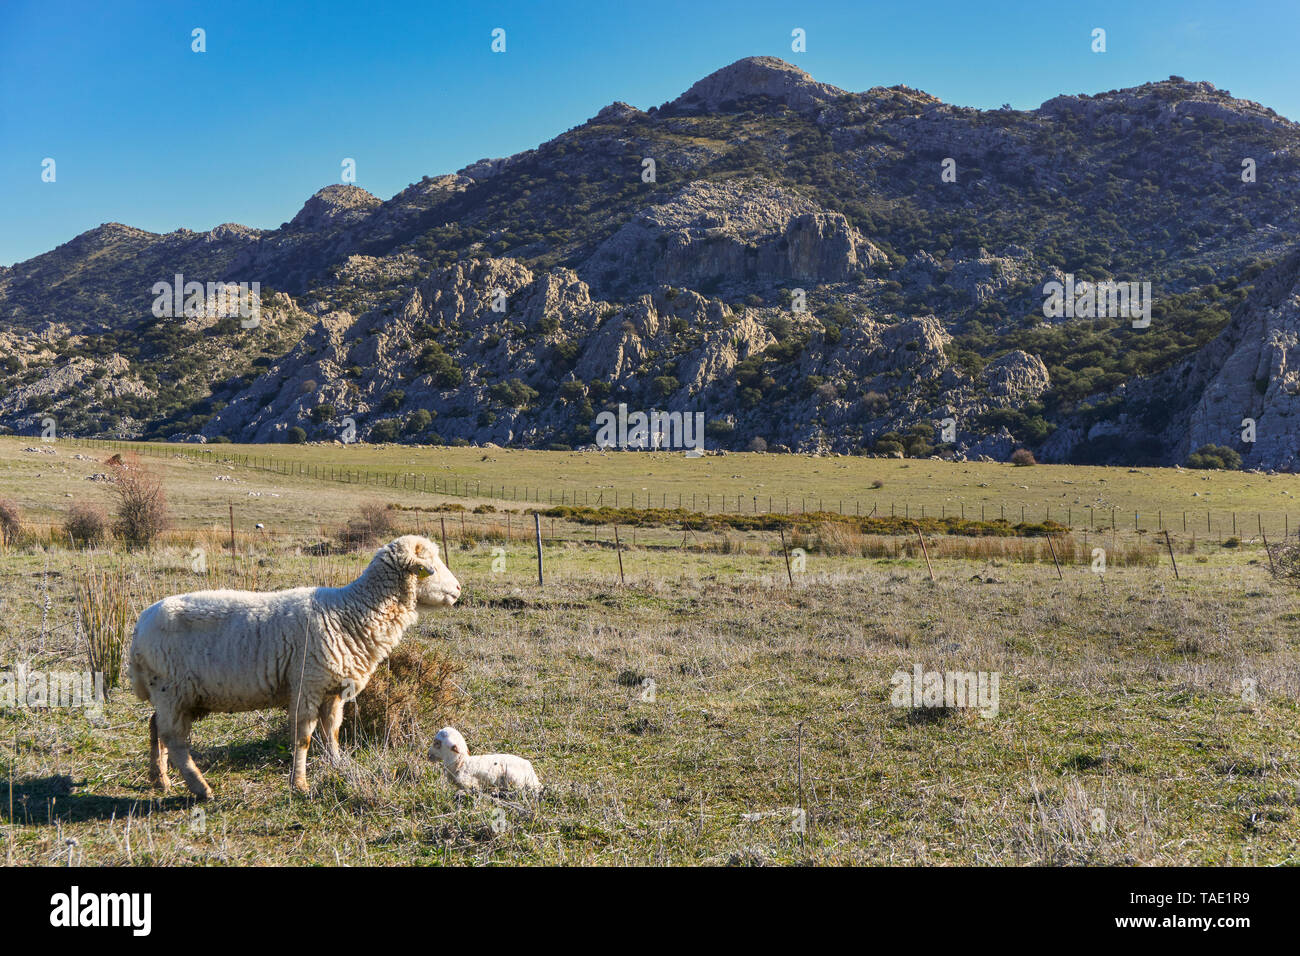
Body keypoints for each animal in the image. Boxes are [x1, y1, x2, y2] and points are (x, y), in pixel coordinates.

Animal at [128, 535, 460, 800]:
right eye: (429, 564)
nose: (458, 589)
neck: (350, 613)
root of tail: (140, 625)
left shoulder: (332, 690)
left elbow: (332, 732)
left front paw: (338, 764)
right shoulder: (307, 686)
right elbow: (303, 739)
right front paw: (299, 784)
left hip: (177, 696)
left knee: (155, 726)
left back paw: (160, 779)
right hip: (172, 689)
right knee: (175, 740)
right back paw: (200, 788)